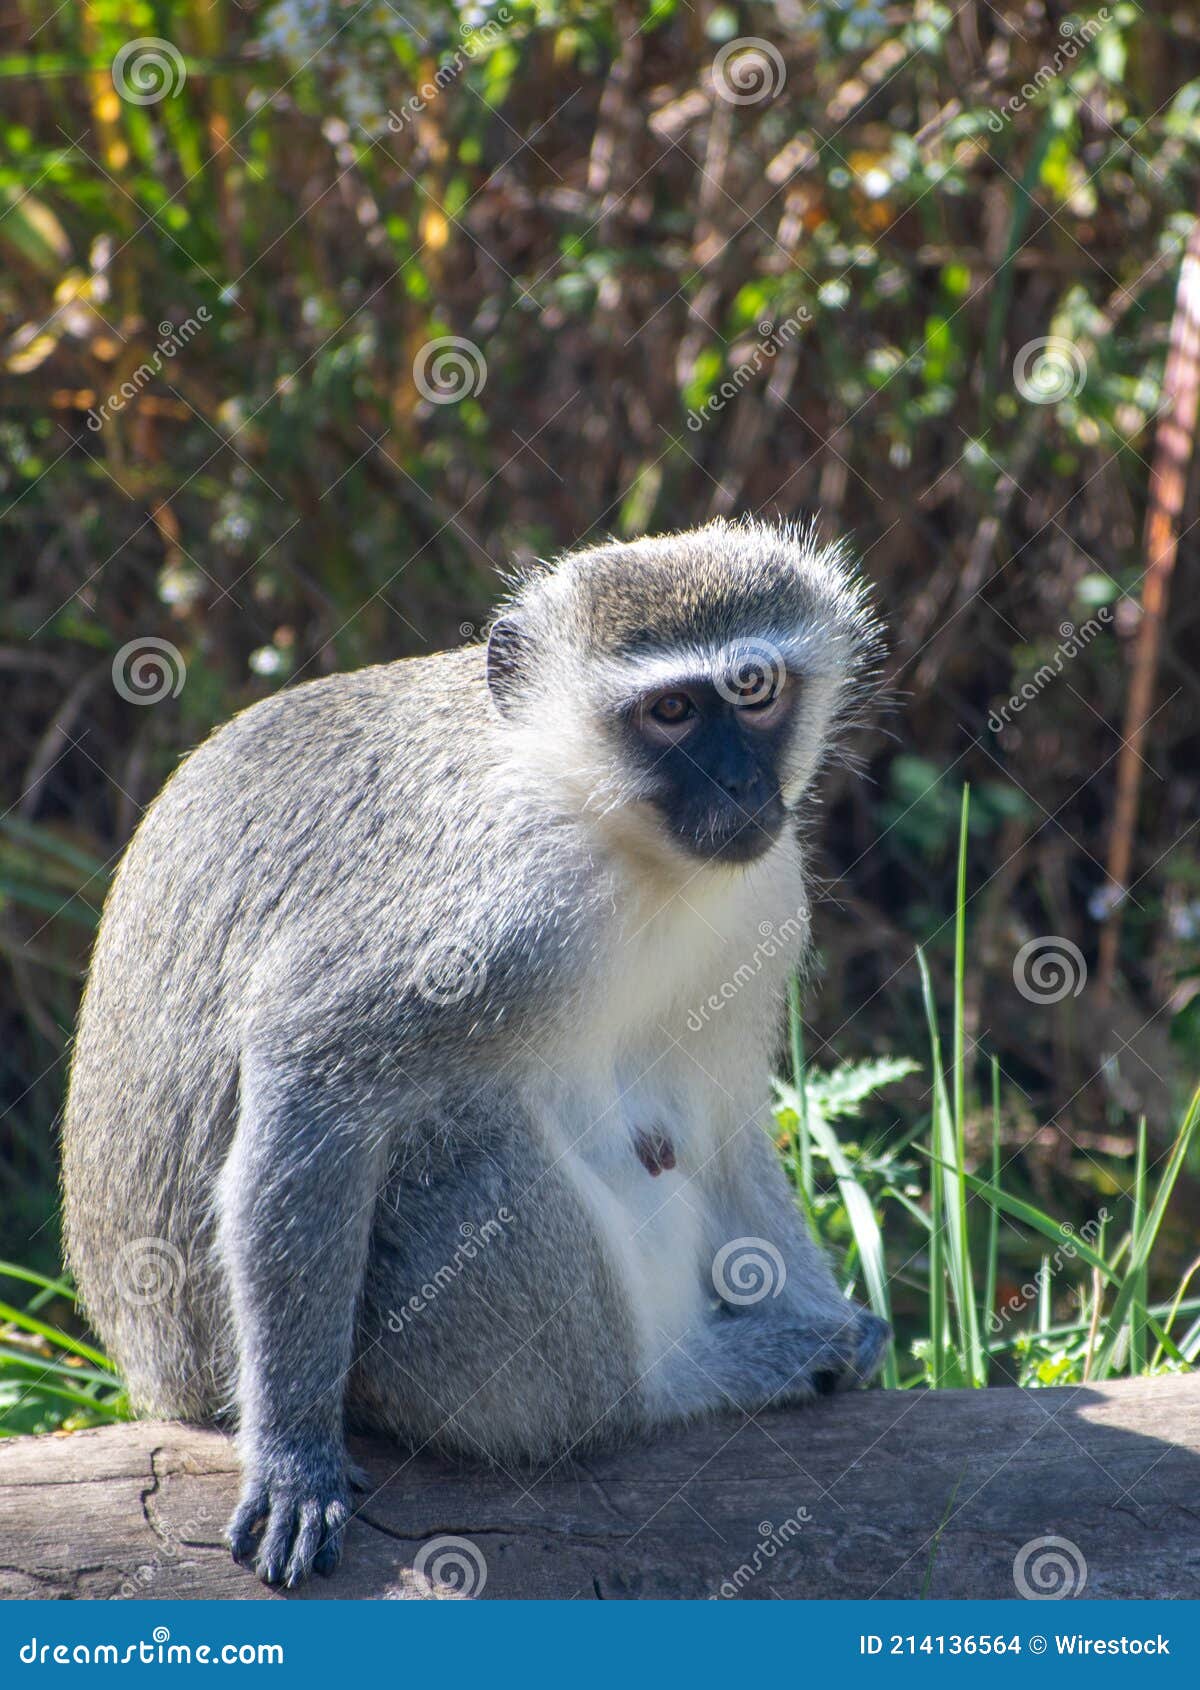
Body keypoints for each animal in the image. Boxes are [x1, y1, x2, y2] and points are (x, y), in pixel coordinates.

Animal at [62, 518, 889, 1589]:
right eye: (670, 712)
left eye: (754, 691)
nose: (743, 787)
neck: (618, 838)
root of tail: (157, 1380)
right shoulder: (493, 906)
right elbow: (311, 1078)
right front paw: (292, 1457)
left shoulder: (764, 895)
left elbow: (724, 1131)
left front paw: (848, 1330)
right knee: (477, 1148)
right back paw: (686, 1382)